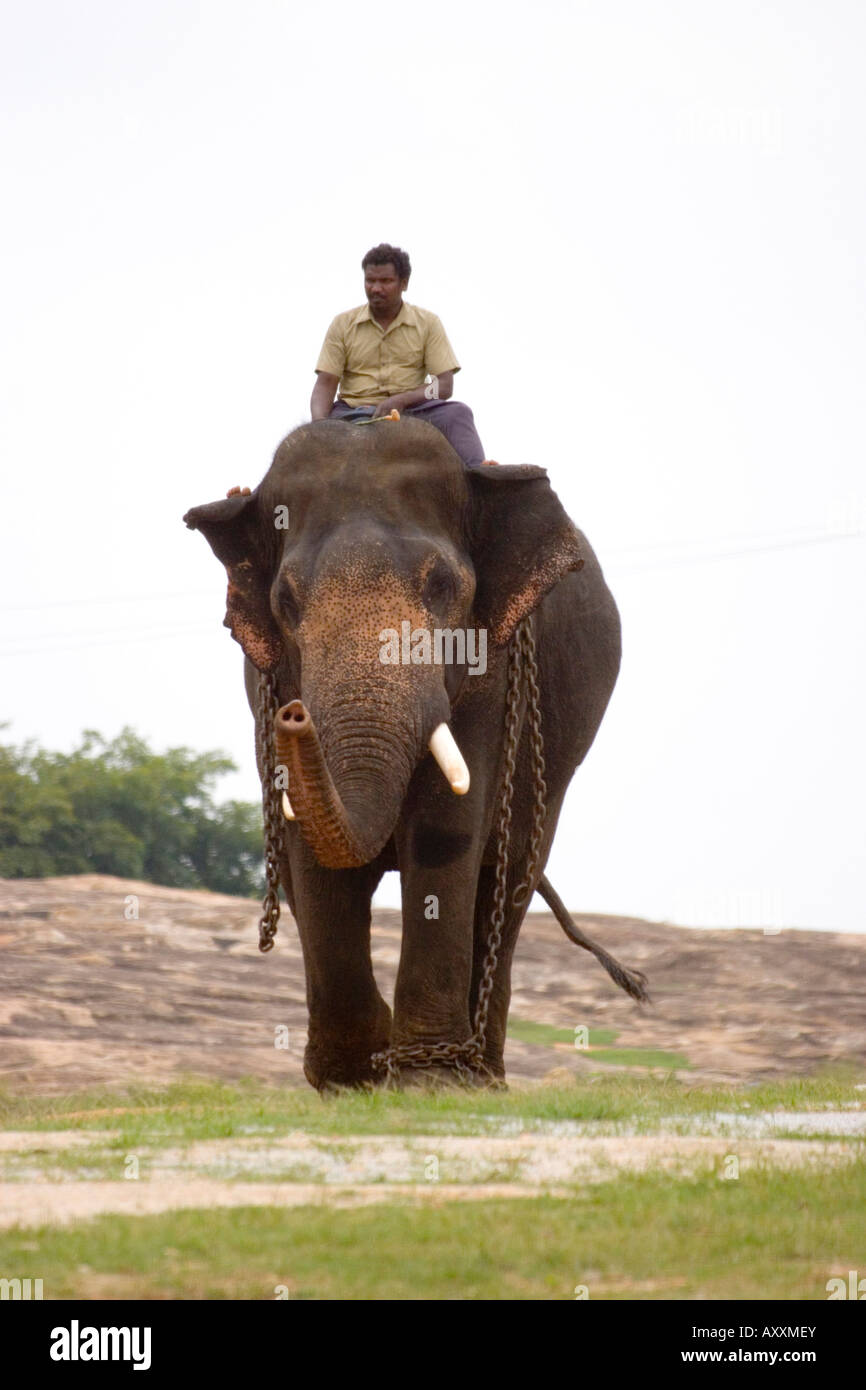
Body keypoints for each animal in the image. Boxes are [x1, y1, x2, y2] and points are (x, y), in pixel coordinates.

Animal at [184, 417, 646, 1091]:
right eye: (286, 602)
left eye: (442, 585)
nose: (294, 717)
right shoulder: (263, 682)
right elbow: (307, 849)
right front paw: (352, 1080)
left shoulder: (490, 673)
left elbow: (444, 828)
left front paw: (431, 1080)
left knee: (511, 878)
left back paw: (483, 1076)